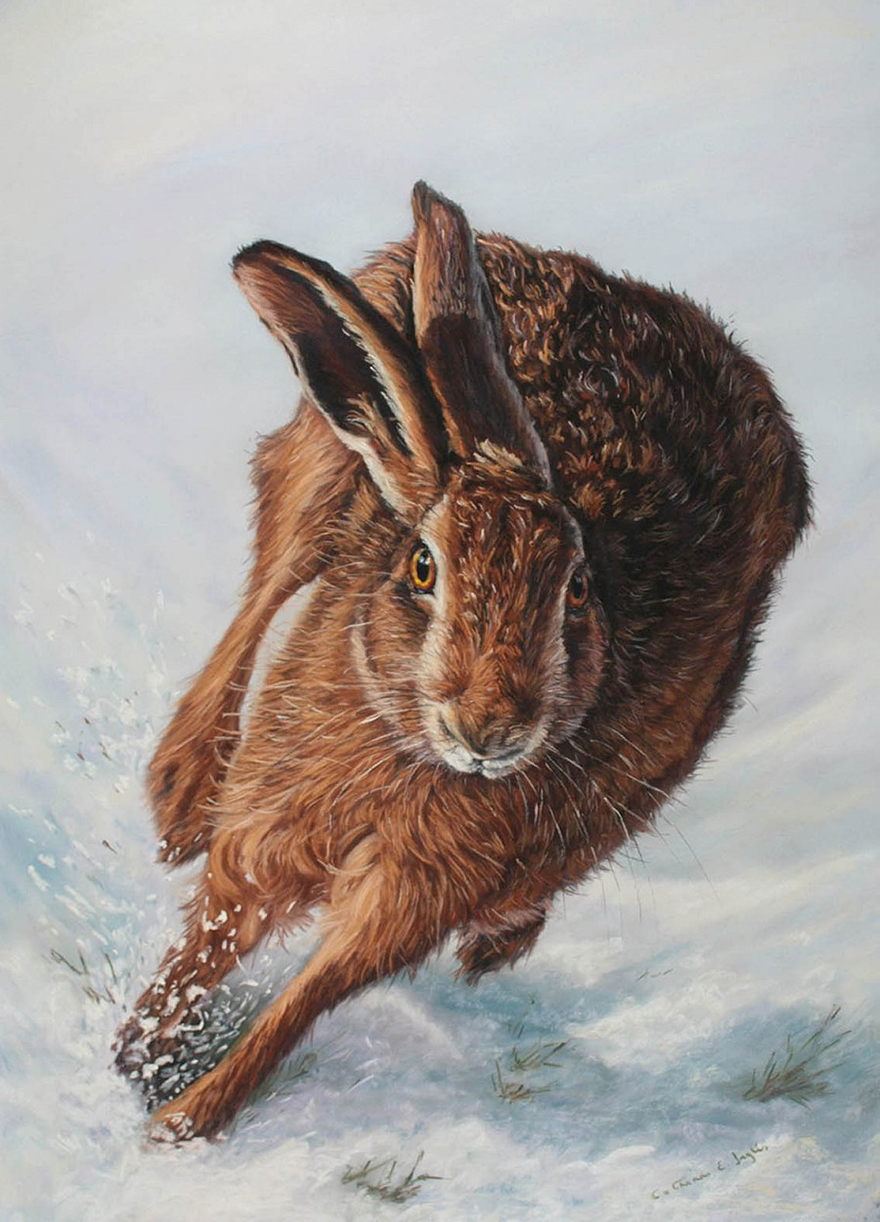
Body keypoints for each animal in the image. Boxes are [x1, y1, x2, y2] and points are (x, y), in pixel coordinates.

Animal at [115, 182, 811, 1142]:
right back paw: (179, 795)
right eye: (422, 567)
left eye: (577, 589)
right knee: (270, 578)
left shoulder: (422, 886)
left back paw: (497, 941)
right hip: (322, 469)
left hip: (674, 735)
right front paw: (140, 1058)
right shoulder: (273, 824)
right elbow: (217, 927)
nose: (490, 726)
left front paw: (183, 1117)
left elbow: (312, 992)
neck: (405, 748)